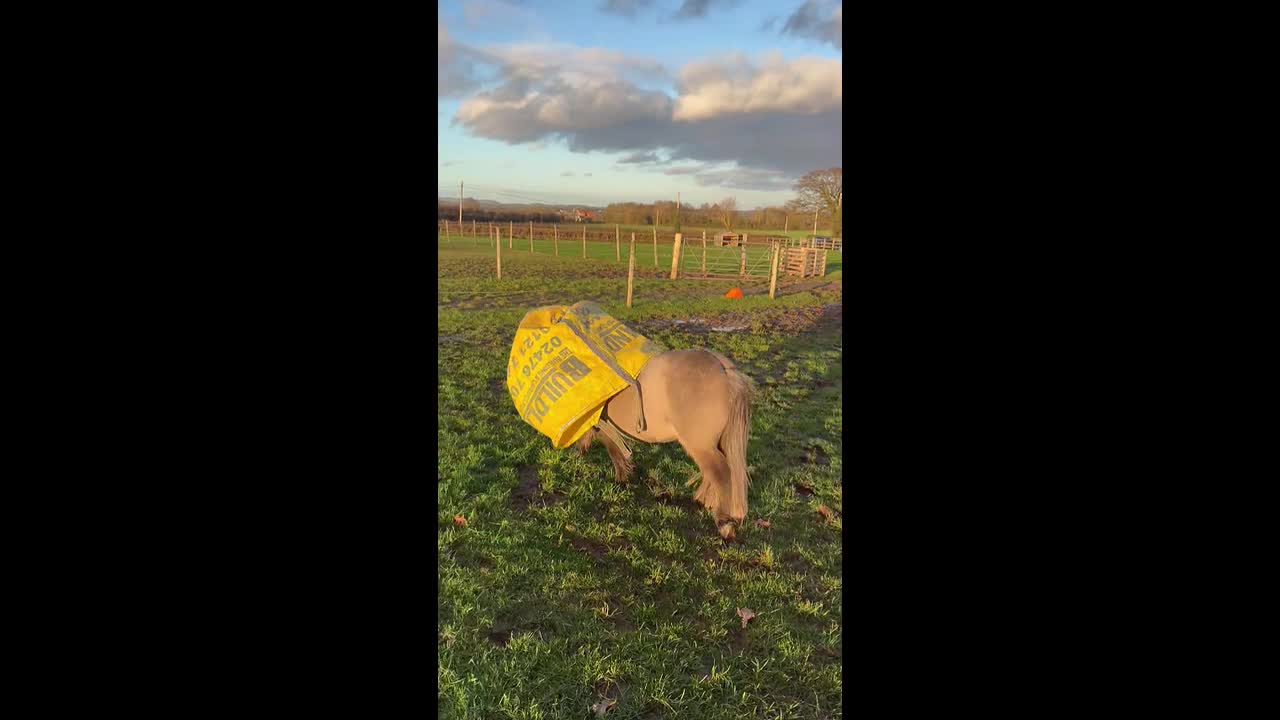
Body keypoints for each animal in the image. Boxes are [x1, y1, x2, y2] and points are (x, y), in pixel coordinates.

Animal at [574, 348, 755, 539]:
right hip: (713, 444)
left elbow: (611, 446)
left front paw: (619, 477)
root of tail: (724, 370)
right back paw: (705, 502)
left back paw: (724, 523)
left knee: (721, 473)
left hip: (701, 446)